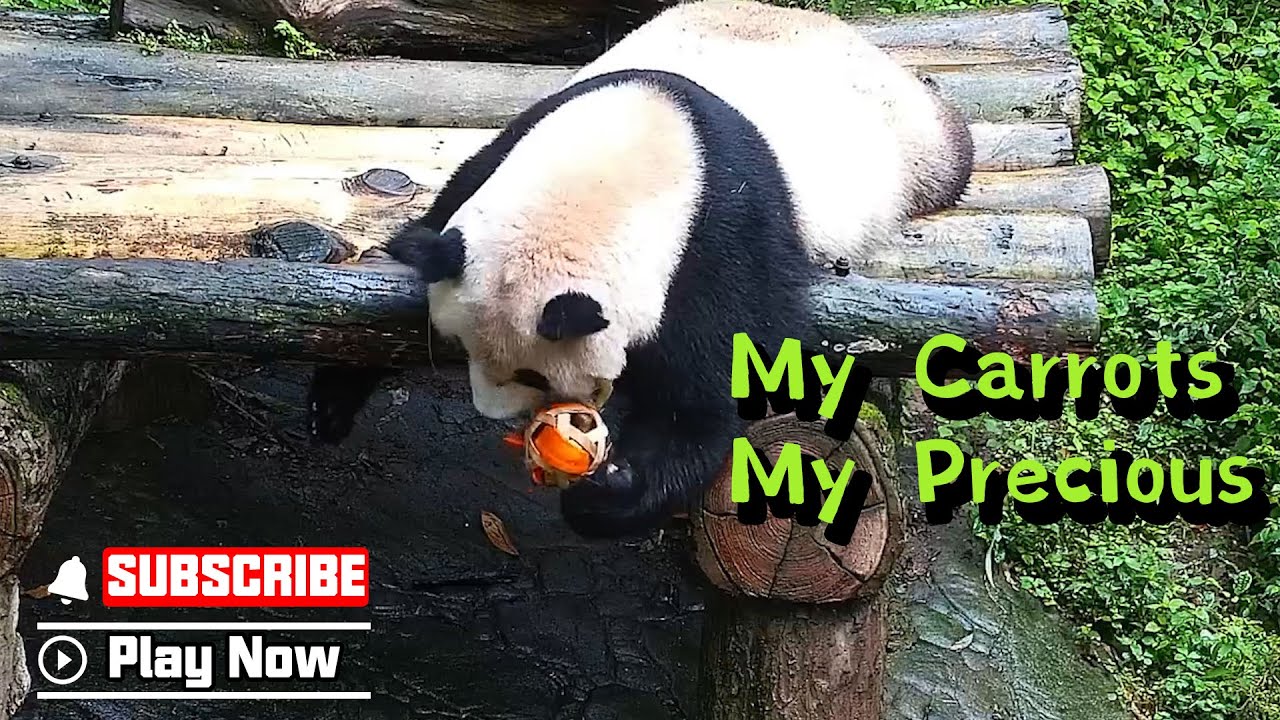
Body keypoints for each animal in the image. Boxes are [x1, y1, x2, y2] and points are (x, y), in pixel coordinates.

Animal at [309, 0, 973, 539]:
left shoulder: (724, 235)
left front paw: (611, 491)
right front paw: (331, 403)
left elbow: (711, 390)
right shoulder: (503, 153)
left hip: (908, 142)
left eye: (534, 376)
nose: (491, 415)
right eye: (459, 348)